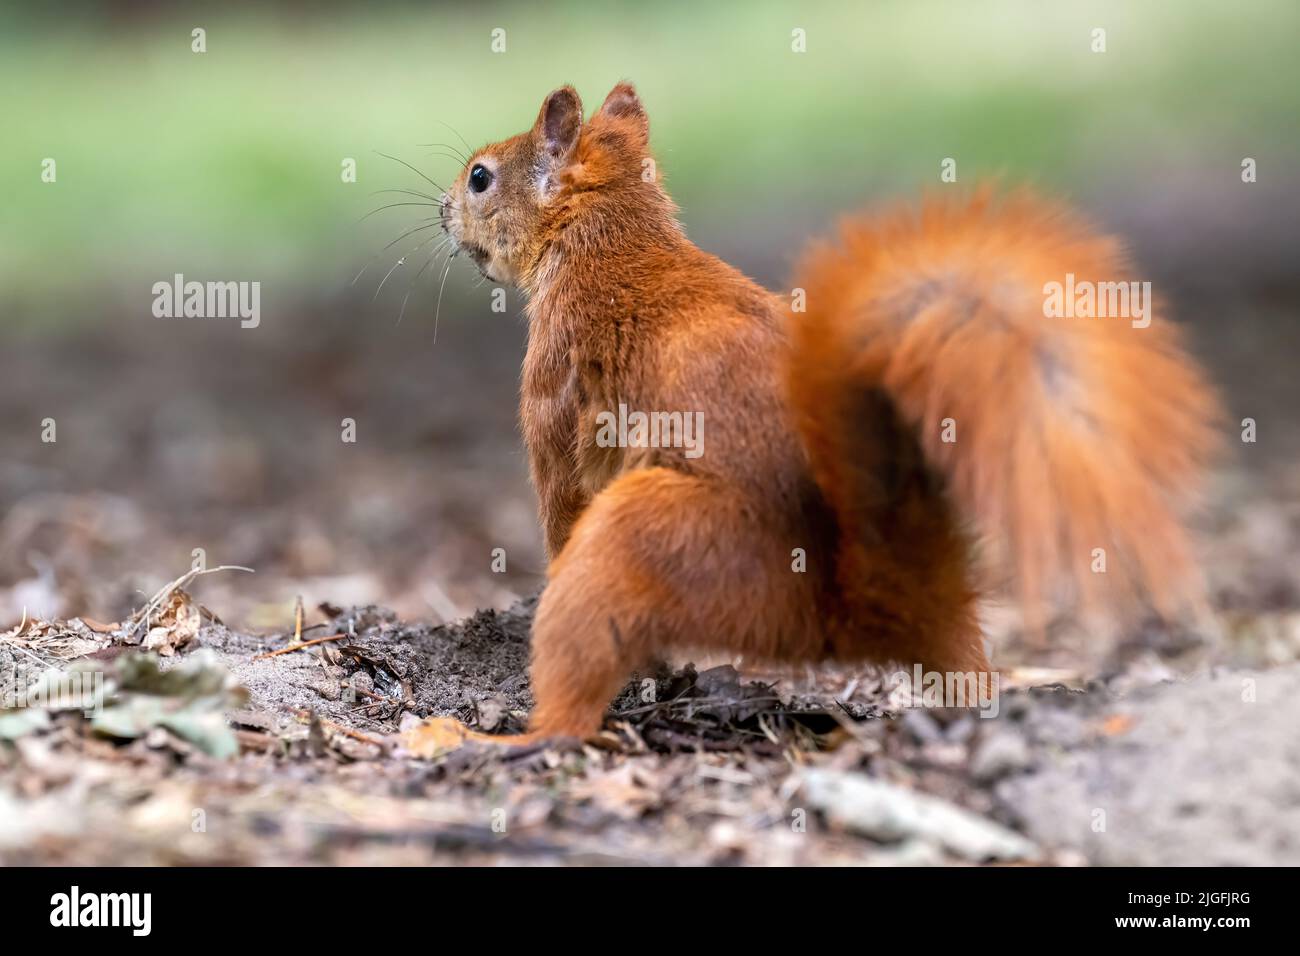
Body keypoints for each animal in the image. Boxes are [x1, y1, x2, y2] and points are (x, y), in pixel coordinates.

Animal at [438, 82, 1221, 741]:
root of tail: (846, 612)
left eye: (480, 176)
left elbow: (562, 504)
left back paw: (517, 736)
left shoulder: (556, 387)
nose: (443, 211)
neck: (608, 236)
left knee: (579, 667)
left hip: (649, 539)